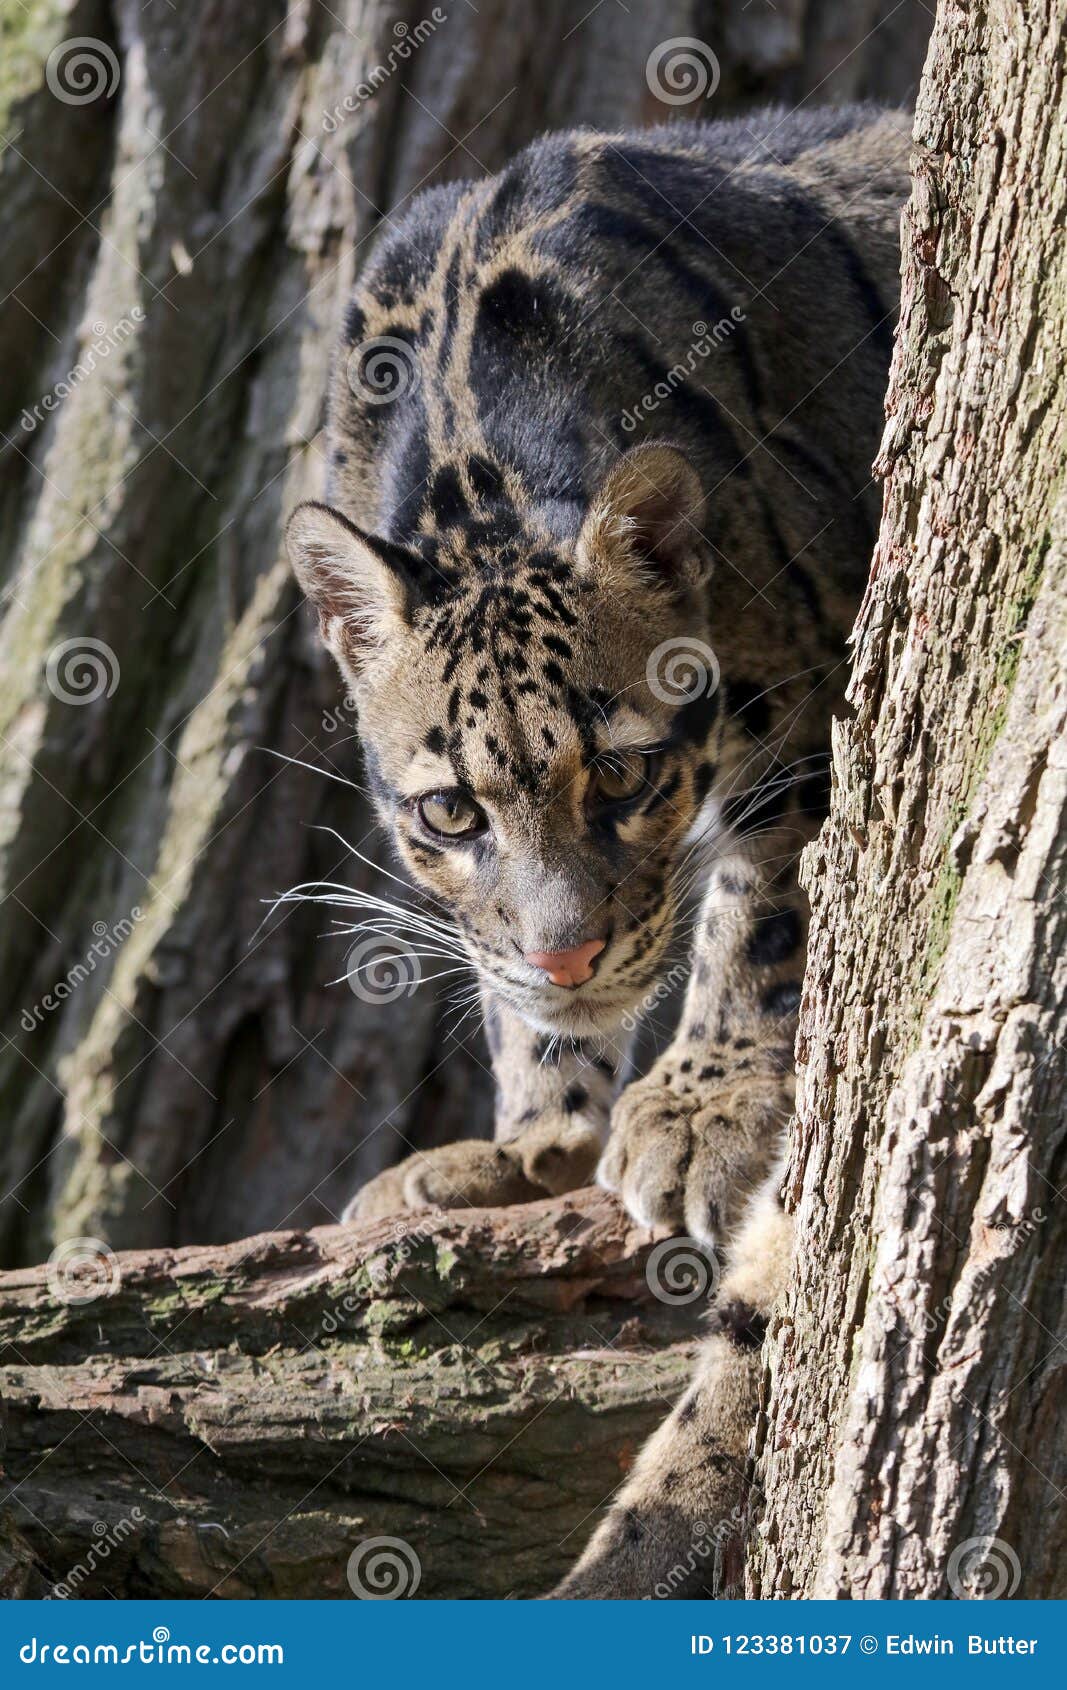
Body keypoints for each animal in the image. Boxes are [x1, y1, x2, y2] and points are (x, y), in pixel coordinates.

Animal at [286, 103, 910, 1598]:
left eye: (622, 774)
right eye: (450, 812)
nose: (571, 954)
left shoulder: (806, 688)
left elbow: (764, 897)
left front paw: (699, 1105)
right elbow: (505, 992)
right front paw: (533, 1139)